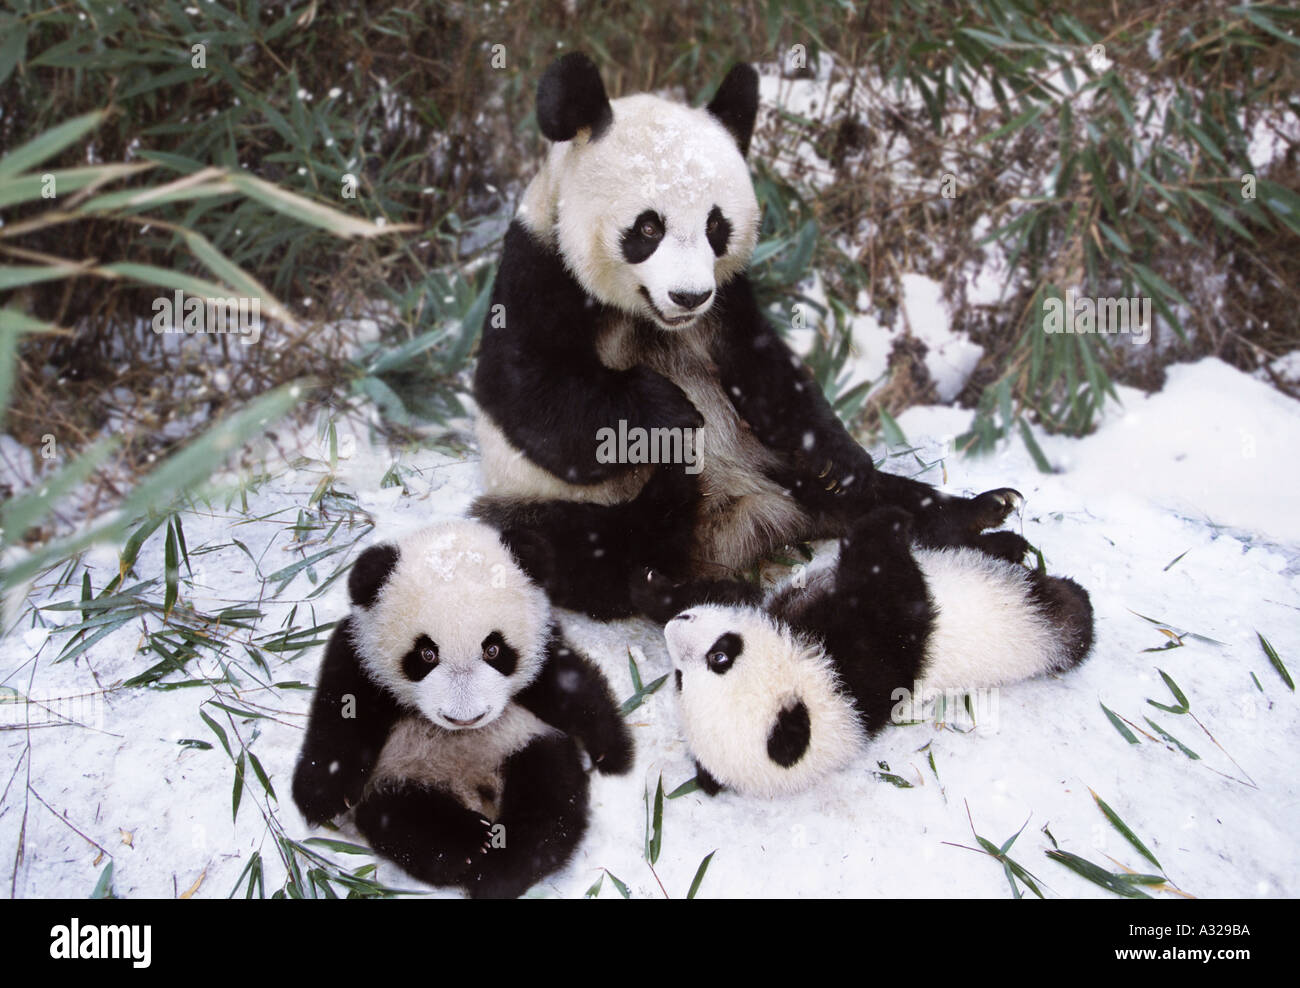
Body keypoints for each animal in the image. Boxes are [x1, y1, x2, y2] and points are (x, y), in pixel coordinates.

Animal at [291, 520, 633, 898]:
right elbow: (341, 719)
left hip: (524, 742)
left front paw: (612, 752)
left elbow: (570, 687)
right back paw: (470, 845)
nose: (465, 718)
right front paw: (323, 797)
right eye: (426, 654)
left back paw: (500, 869)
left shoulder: (544, 645)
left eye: (494, 649)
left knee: (549, 797)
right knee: (403, 821)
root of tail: (474, 789)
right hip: (401, 773)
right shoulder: (359, 658)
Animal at [471, 52, 1024, 621]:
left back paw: (984, 519)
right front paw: (671, 413)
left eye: (716, 226)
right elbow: (530, 393)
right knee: (581, 548)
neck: (648, 314)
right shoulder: (539, 267)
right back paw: (684, 574)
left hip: (769, 462)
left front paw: (836, 455)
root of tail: (745, 531)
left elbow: (764, 370)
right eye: (648, 228)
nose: (689, 295)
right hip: (545, 502)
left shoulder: (729, 296)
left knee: (875, 498)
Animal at [661, 508, 1094, 798]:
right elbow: (896, 597)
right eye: (688, 675)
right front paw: (882, 525)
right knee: (1069, 620)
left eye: (719, 656)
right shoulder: (868, 664)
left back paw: (1009, 544)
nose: (673, 626)